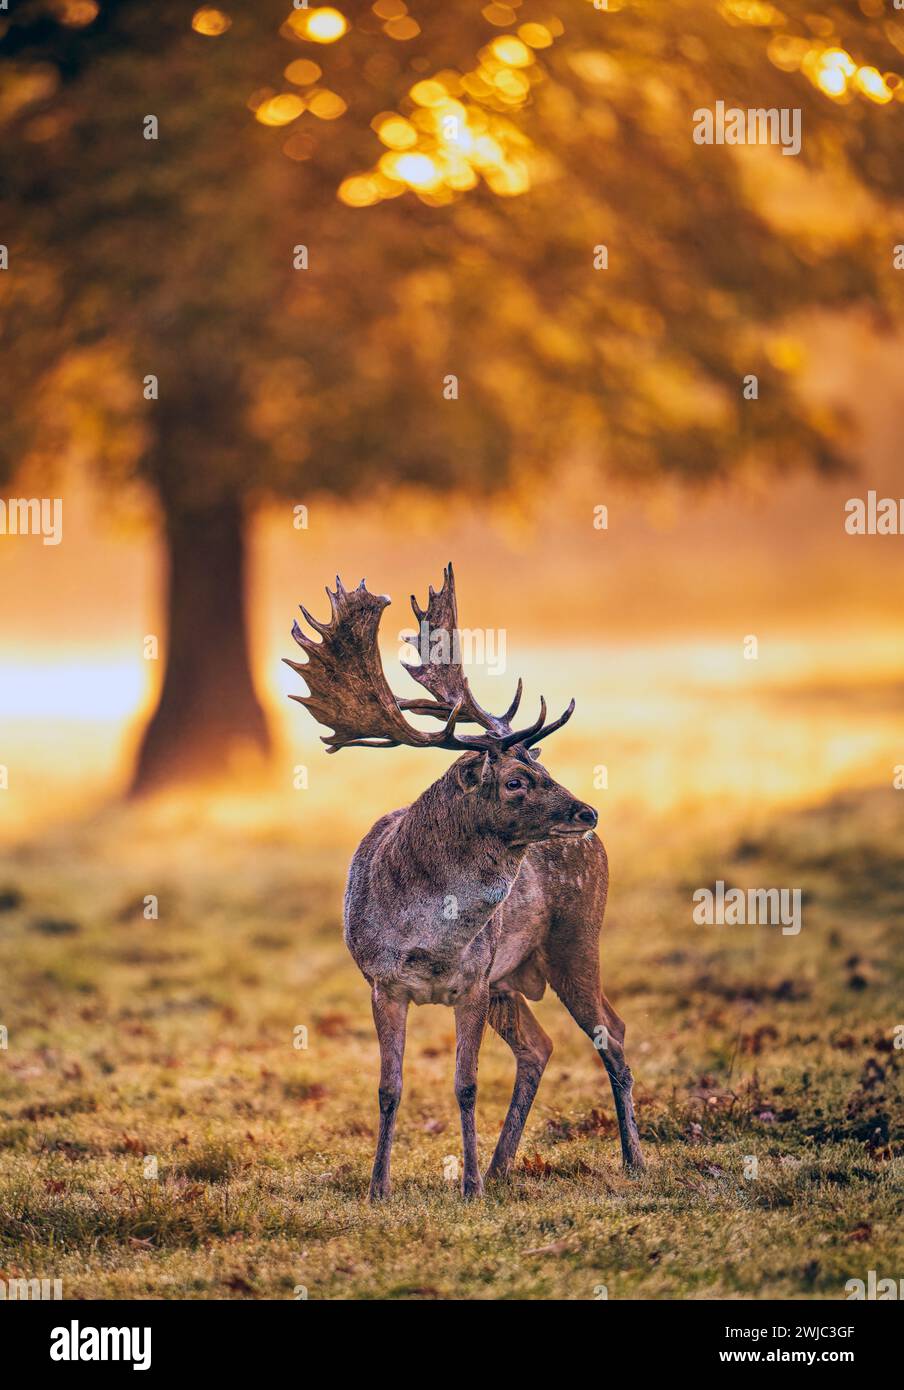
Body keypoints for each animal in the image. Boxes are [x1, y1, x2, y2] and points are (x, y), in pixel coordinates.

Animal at [285, 564, 644, 1200]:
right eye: (516, 781)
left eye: (542, 765)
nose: (587, 812)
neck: (428, 935)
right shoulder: (382, 982)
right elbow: (389, 1088)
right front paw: (378, 1188)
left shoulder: (473, 982)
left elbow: (466, 1085)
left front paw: (469, 1186)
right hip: (514, 976)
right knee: (540, 1045)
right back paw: (504, 1166)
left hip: (576, 937)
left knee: (614, 1032)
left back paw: (633, 1161)